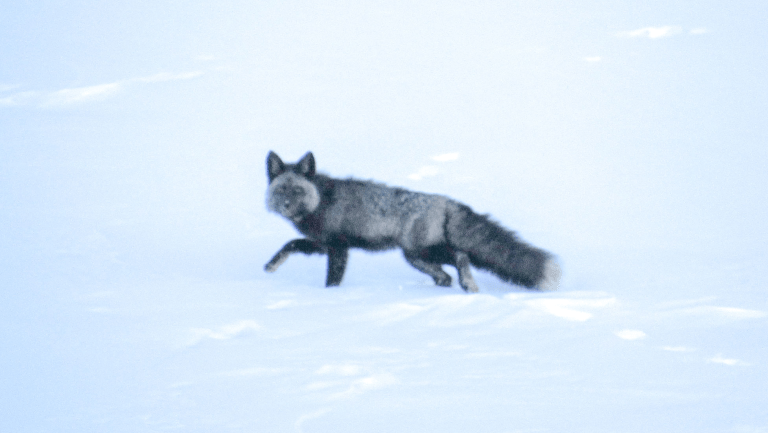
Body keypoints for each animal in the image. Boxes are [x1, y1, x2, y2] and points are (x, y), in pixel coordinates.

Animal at [264, 151, 560, 292]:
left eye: (297, 190)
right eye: (281, 190)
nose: (286, 206)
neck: (320, 202)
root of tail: (446, 201)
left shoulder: (338, 247)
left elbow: (332, 278)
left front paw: (330, 296)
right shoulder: (321, 244)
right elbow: (291, 244)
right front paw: (271, 266)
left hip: (420, 251)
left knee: (460, 256)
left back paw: (468, 284)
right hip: (417, 257)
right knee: (446, 275)